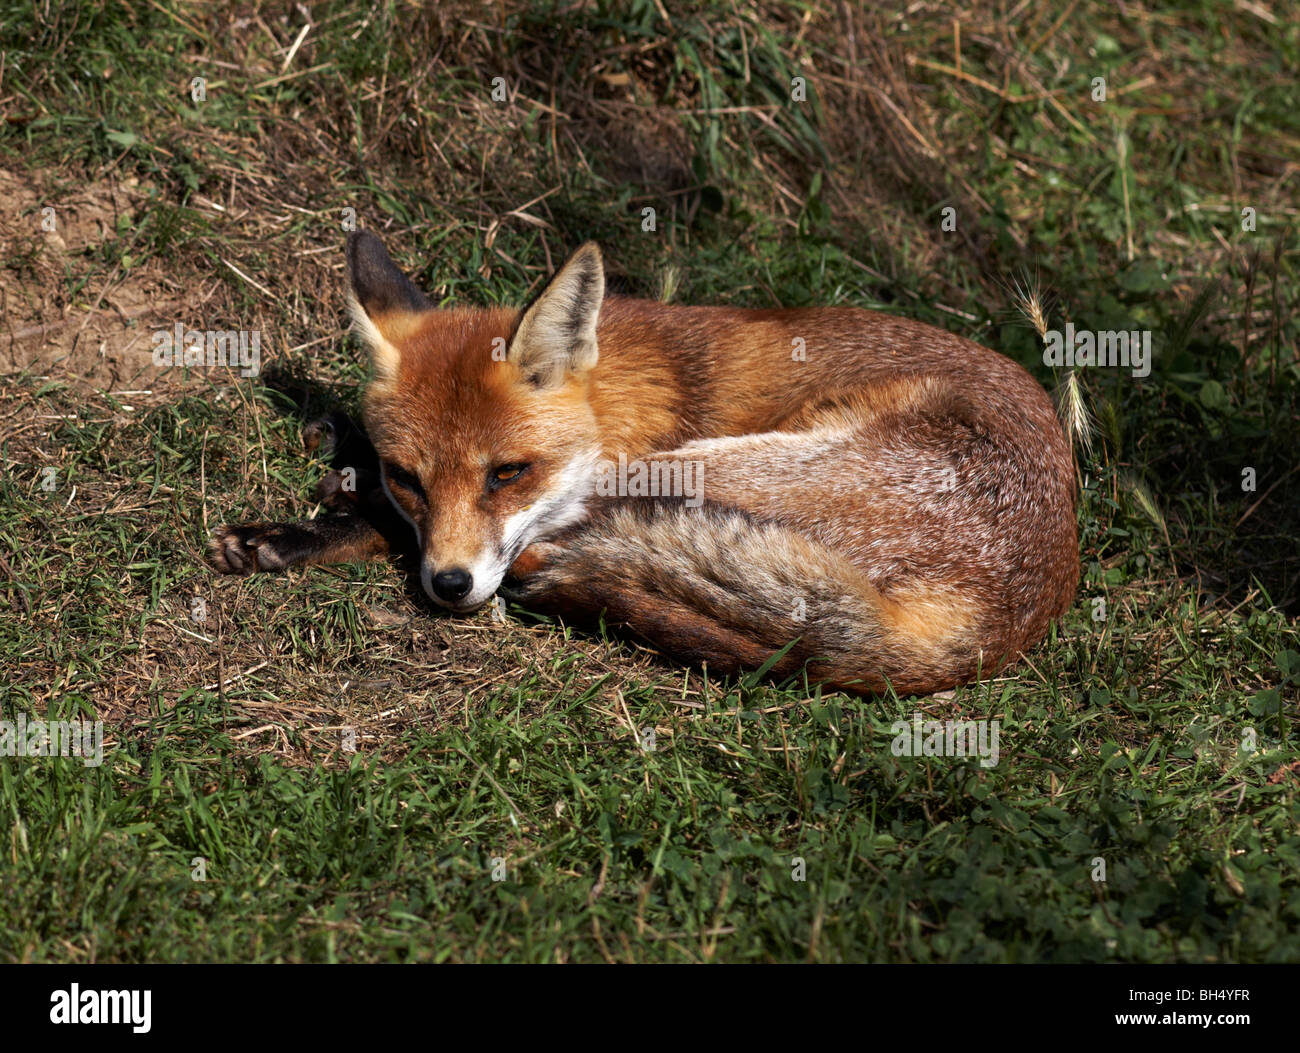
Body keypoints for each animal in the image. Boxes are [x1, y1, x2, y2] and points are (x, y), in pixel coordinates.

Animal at [209, 231, 1078, 696]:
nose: (449, 586)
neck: (620, 398)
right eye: (411, 479)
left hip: (698, 469)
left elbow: (462, 540)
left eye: (506, 473)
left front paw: (315, 520)